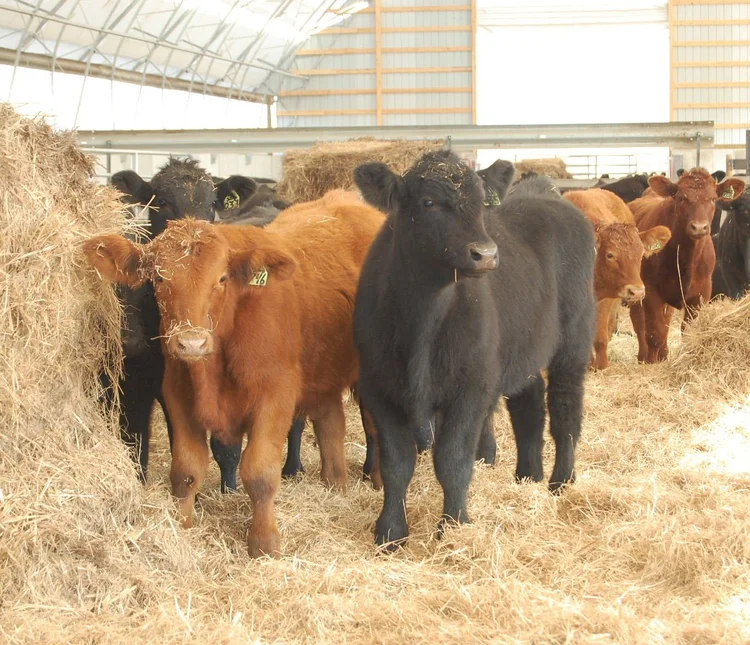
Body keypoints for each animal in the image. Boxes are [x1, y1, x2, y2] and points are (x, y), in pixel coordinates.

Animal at [83, 190, 385, 557]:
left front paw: (264, 542)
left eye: (221, 279)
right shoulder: (178, 396)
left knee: (374, 426)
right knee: (331, 424)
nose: (191, 341)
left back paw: (377, 481)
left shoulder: (275, 398)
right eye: (159, 278)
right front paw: (182, 525)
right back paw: (335, 484)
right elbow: (185, 469)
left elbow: (259, 472)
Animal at [352, 151, 596, 549]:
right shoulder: (380, 388)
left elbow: (452, 461)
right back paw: (528, 475)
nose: (486, 254)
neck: (424, 318)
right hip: (522, 345)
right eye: (429, 202)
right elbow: (396, 465)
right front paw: (390, 532)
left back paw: (561, 480)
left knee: (565, 405)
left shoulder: (471, 388)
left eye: (482, 202)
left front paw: (454, 527)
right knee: (530, 403)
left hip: (575, 337)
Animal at [563, 189, 671, 369]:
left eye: (641, 254)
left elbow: (599, 336)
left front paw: (600, 366)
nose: (637, 291)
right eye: (610, 255)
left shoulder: (604, 298)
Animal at [628, 169, 745, 363]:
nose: (699, 227)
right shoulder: (651, 291)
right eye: (681, 198)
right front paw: (653, 363)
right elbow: (654, 333)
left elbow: (687, 330)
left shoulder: (701, 293)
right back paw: (644, 356)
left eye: (713, 199)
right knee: (639, 322)